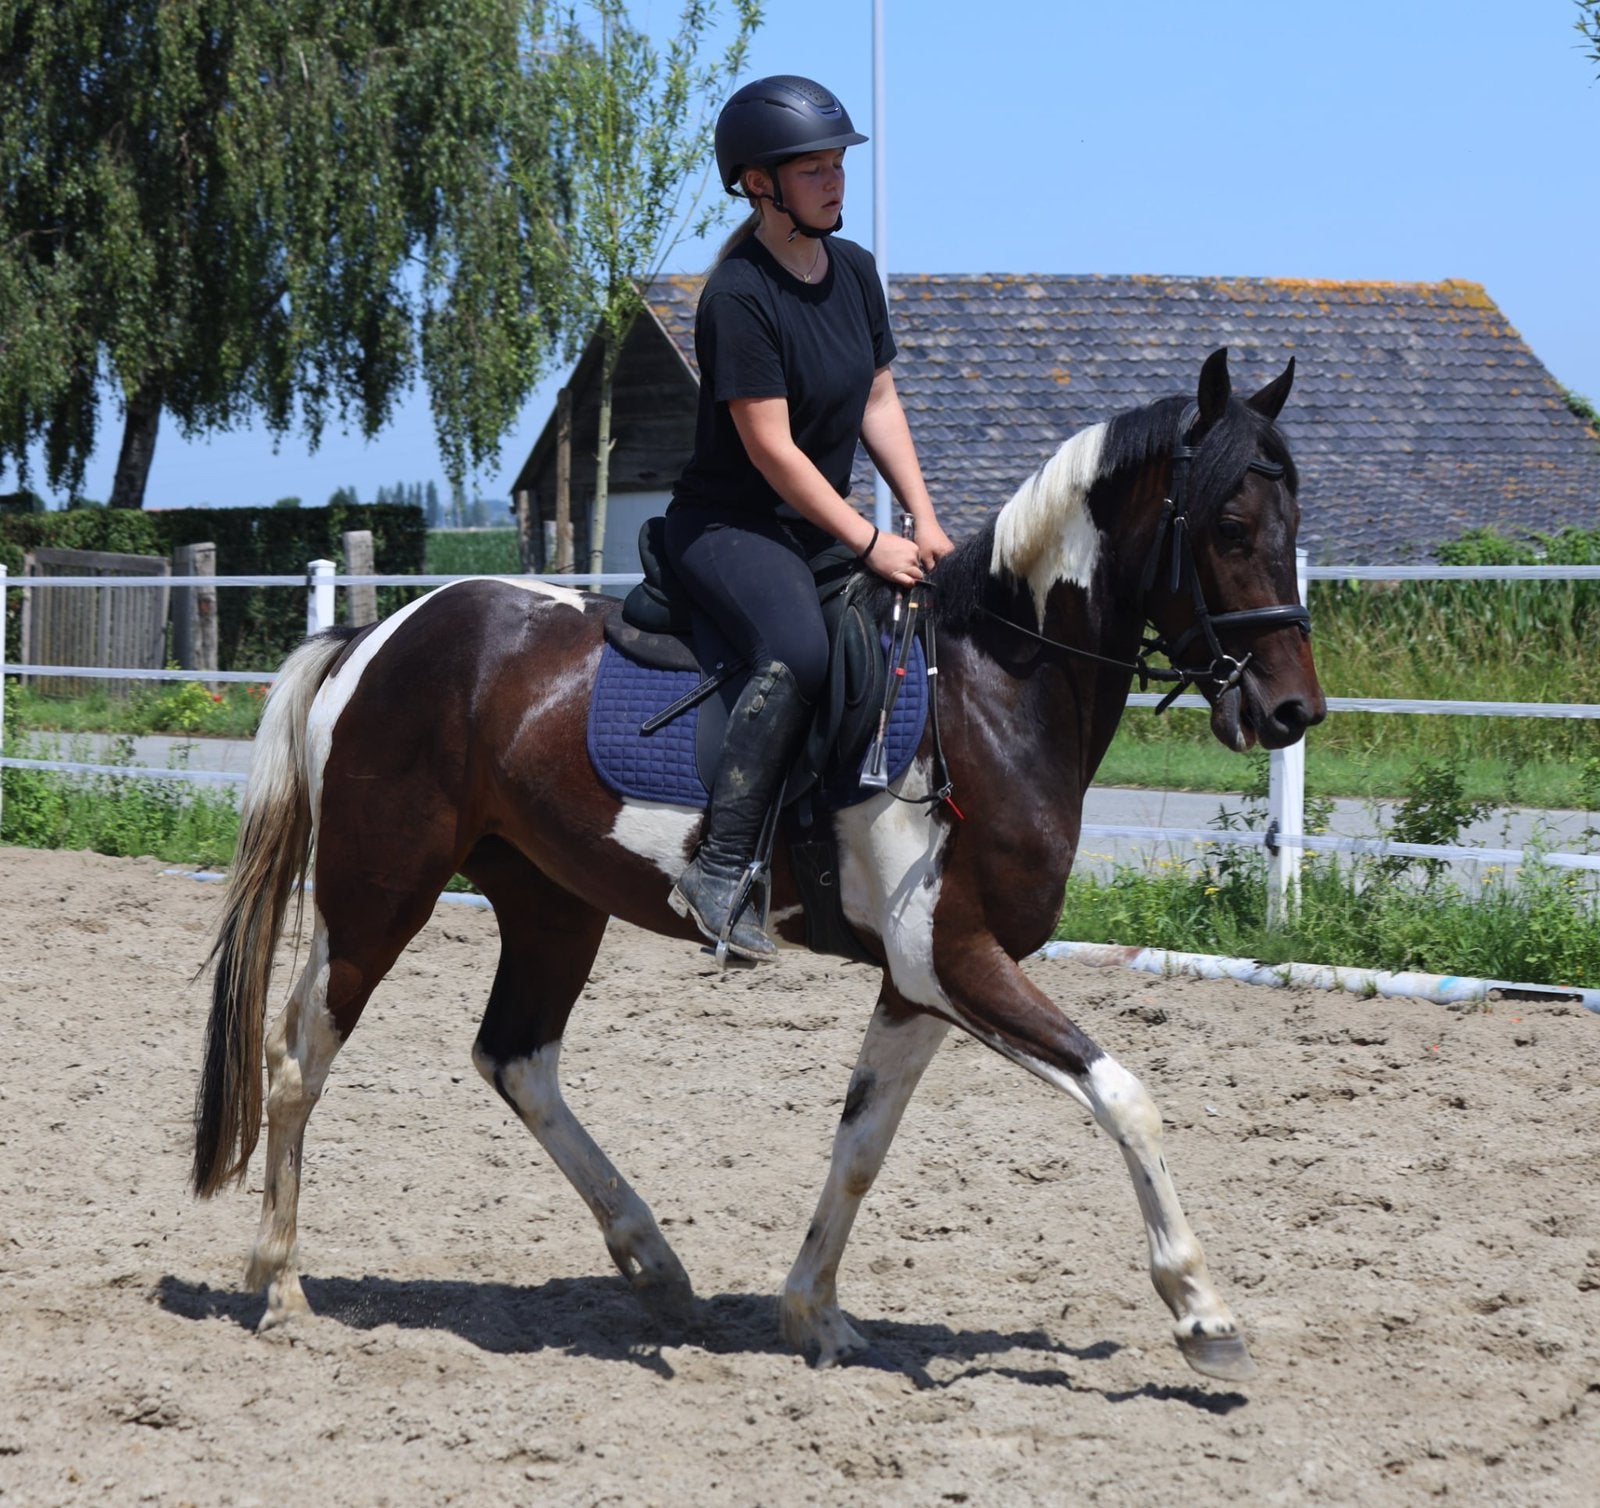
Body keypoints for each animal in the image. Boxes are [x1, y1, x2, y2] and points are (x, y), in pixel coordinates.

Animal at [191, 347, 1324, 1383]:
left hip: (552, 902)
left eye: (1292, 526)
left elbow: (861, 1144)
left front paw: (814, 1315)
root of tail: (375, 635)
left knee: (515, 1057)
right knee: (299, 1059)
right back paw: (282, 1287)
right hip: (379, 894)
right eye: (1227, 529)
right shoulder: (956, 959)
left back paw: (654, 1264)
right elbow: (1124, 1094)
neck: (991, 691)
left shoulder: (922, 982)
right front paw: (1202, 1312)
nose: (1291, 711)